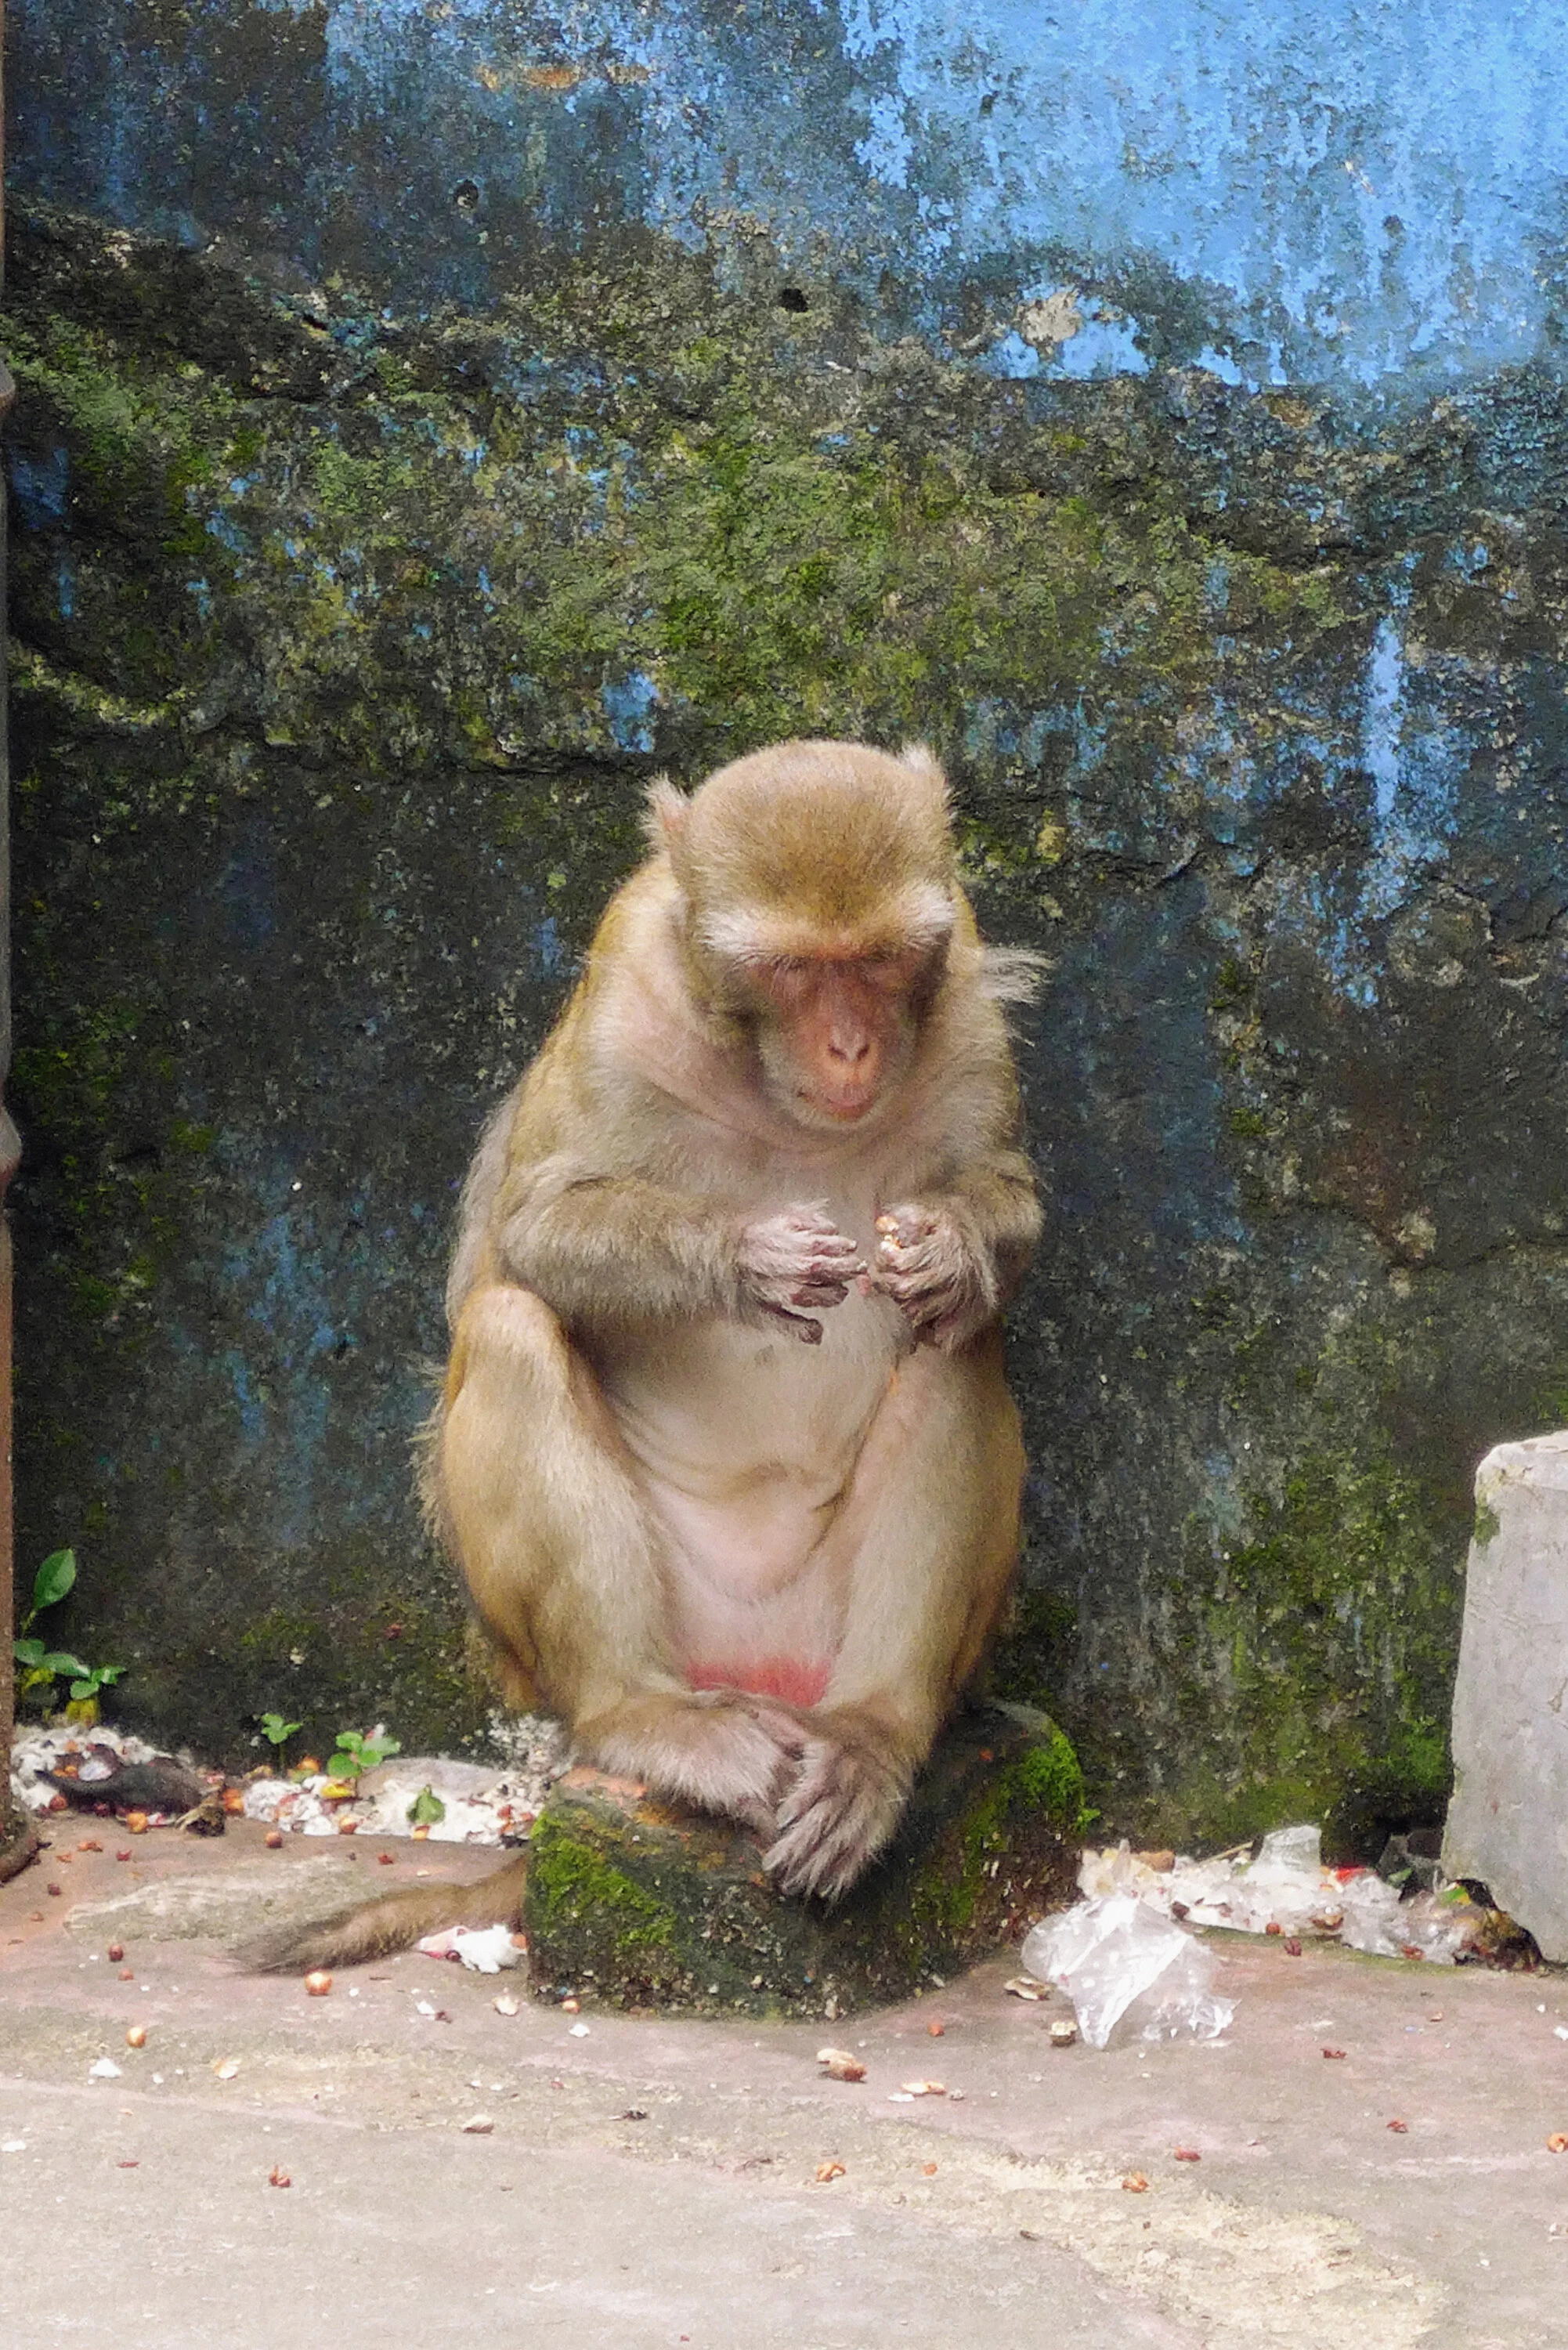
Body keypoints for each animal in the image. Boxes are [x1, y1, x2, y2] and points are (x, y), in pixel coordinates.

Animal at [238, 739, 1040, 1973]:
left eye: (877, 960)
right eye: (794, 970)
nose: (851, 1044)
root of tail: (757, 1676)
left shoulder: (963, 1005)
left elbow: (1005, 1207)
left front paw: (950, 1251)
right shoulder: (625, 991)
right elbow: (534, 1229)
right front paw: (747, 1260)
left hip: (846, 1647)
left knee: (956, 1346)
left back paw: (871, 1737)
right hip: (574, 1657)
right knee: (513, 1331)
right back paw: (648, 1721)